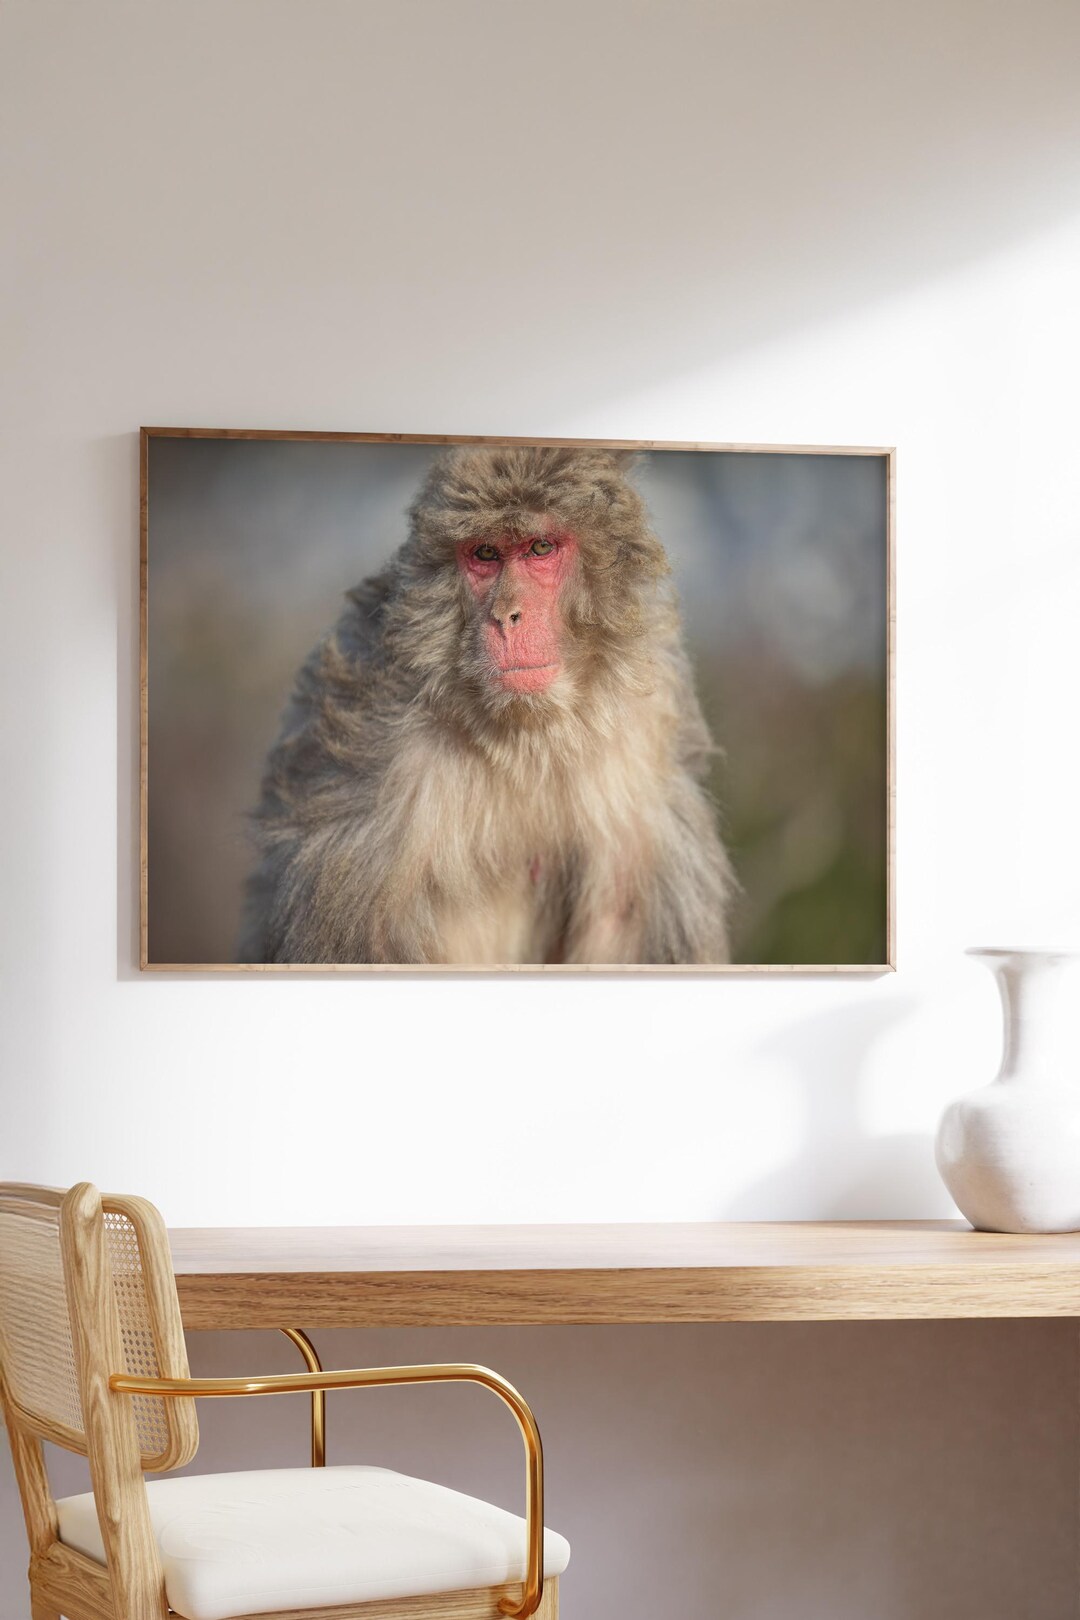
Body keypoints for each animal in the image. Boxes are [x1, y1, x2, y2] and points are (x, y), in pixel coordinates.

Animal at [238, 445, 735, 965]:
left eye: (540, 548)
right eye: (485, 554)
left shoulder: (652, 725)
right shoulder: (368, 742)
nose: (505, 616)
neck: (528, 733)